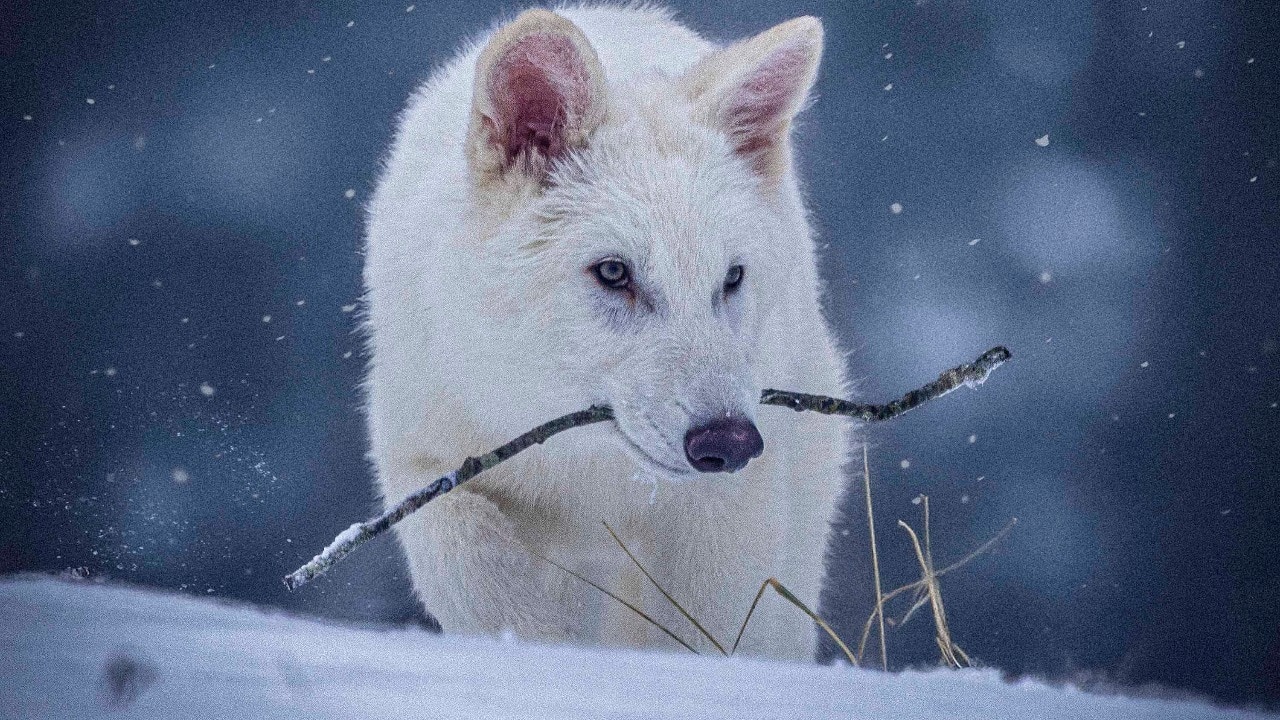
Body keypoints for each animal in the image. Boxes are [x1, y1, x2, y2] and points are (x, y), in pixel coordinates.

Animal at [362, 4, 852, 660]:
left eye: (731, 278)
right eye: (614, 272)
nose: (729, 442)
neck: (589, 468)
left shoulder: (723, 513)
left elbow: (705, 631)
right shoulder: (427, 463)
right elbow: (483, 579)